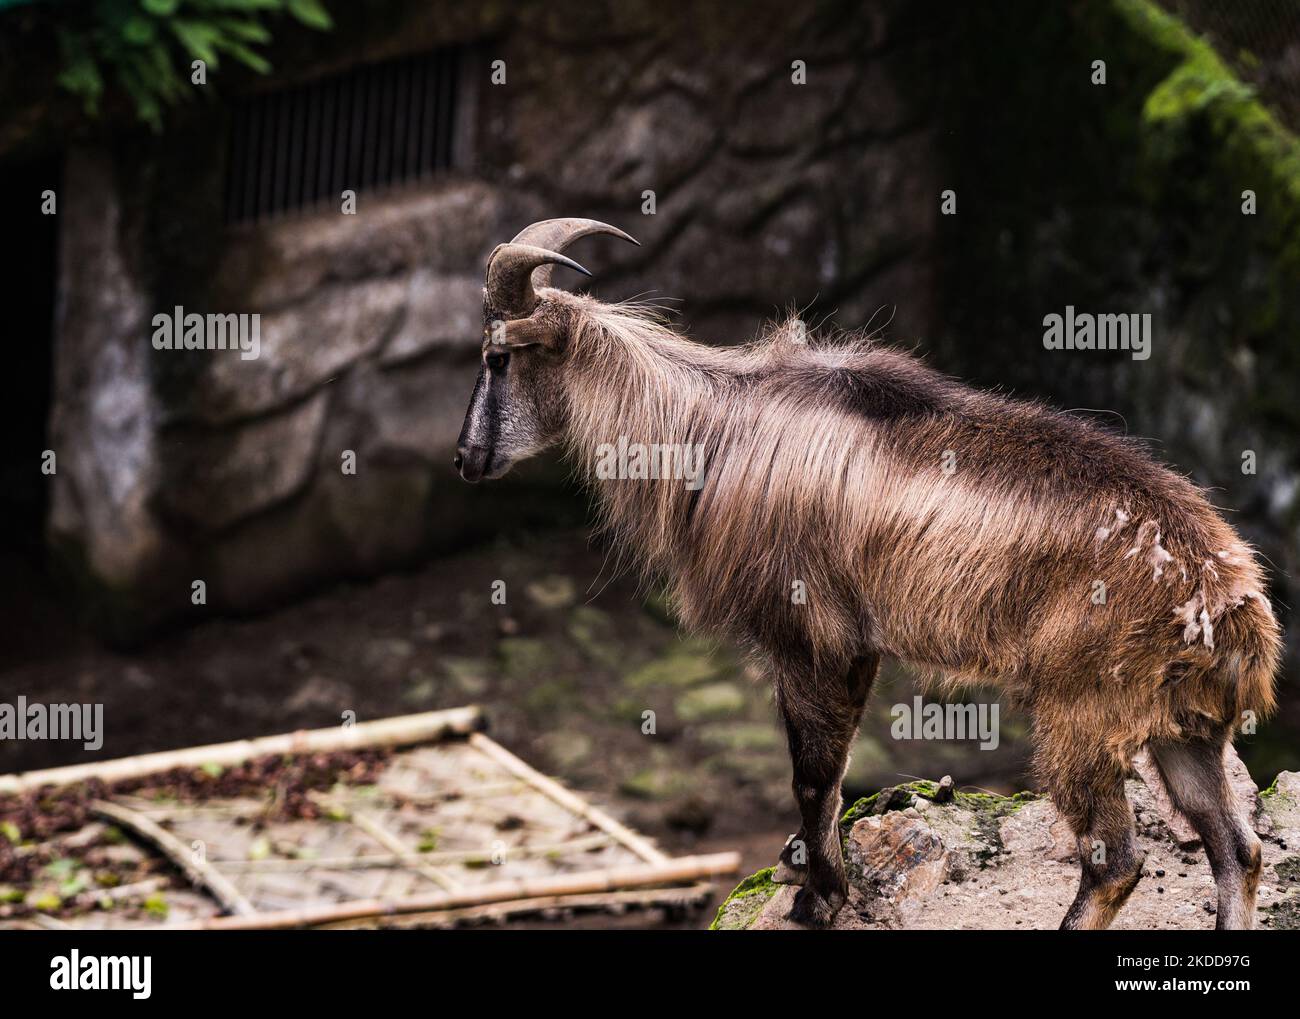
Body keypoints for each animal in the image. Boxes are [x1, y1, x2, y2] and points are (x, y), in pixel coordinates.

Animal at [454, 218, 1281, 929]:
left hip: (1084, 715)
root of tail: (1230, 606)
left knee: (1117, 861)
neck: (710, 427)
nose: (466, 459)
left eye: (498, 358)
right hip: (1182, 728)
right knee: (1235, 846)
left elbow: (814, 774)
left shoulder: (815, 639)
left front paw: (818, 896)